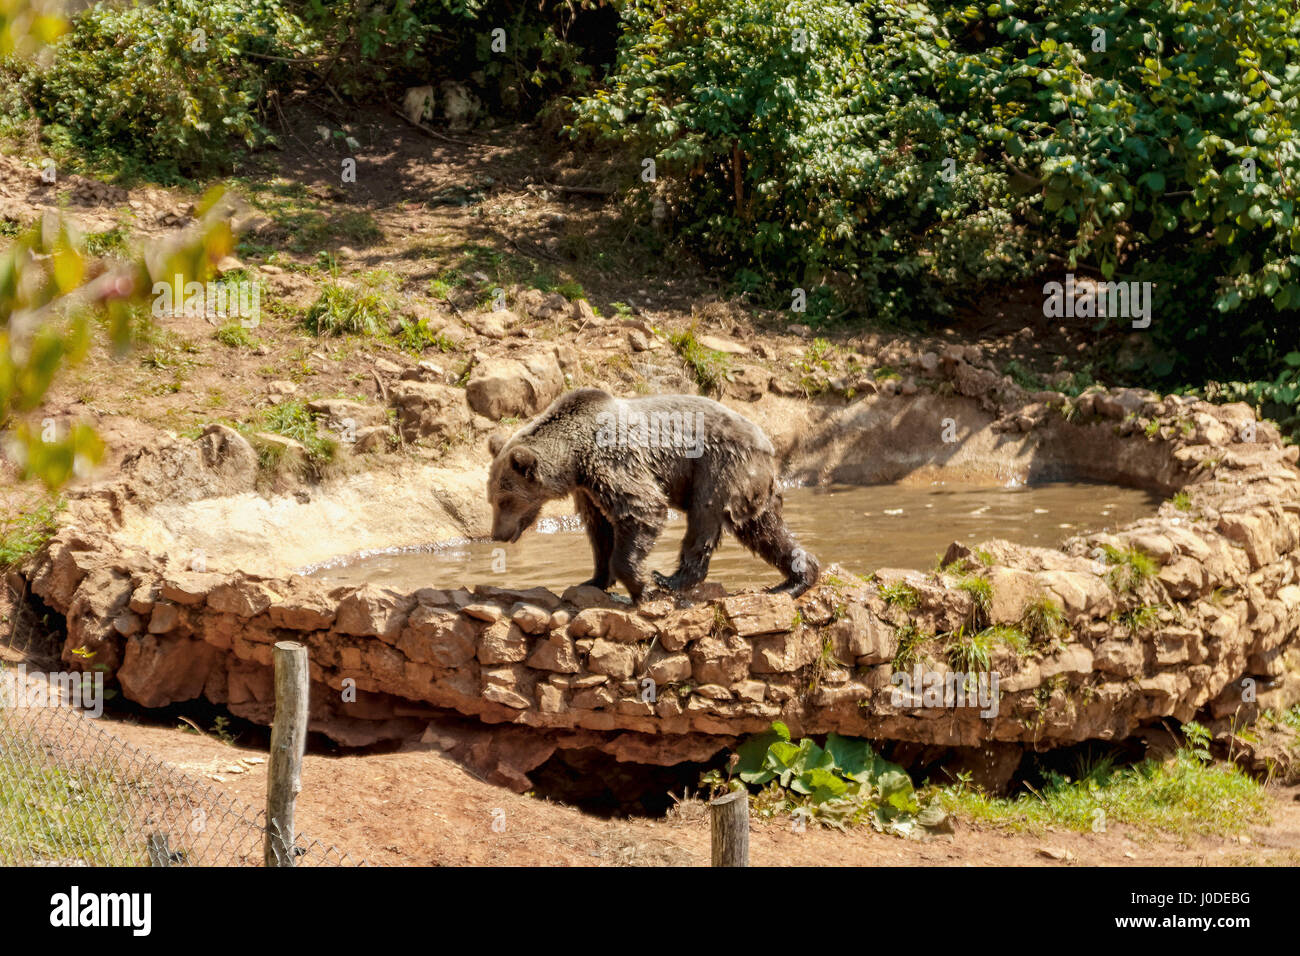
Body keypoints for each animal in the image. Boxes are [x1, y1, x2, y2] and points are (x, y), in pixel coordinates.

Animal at [487, 387, 819, 601]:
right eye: (492, 500)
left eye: (504, 500)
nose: (497, 534)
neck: (575, 459)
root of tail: (767, 442)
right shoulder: (589, 489)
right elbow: (600, 529)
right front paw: (594, 579)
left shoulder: (614, 461)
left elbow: (643, 508)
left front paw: (641, 586)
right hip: (750, 484)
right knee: (764, 529)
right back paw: (796, 579)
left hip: (719, 466)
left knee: (705, 516)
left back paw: (671, 579)